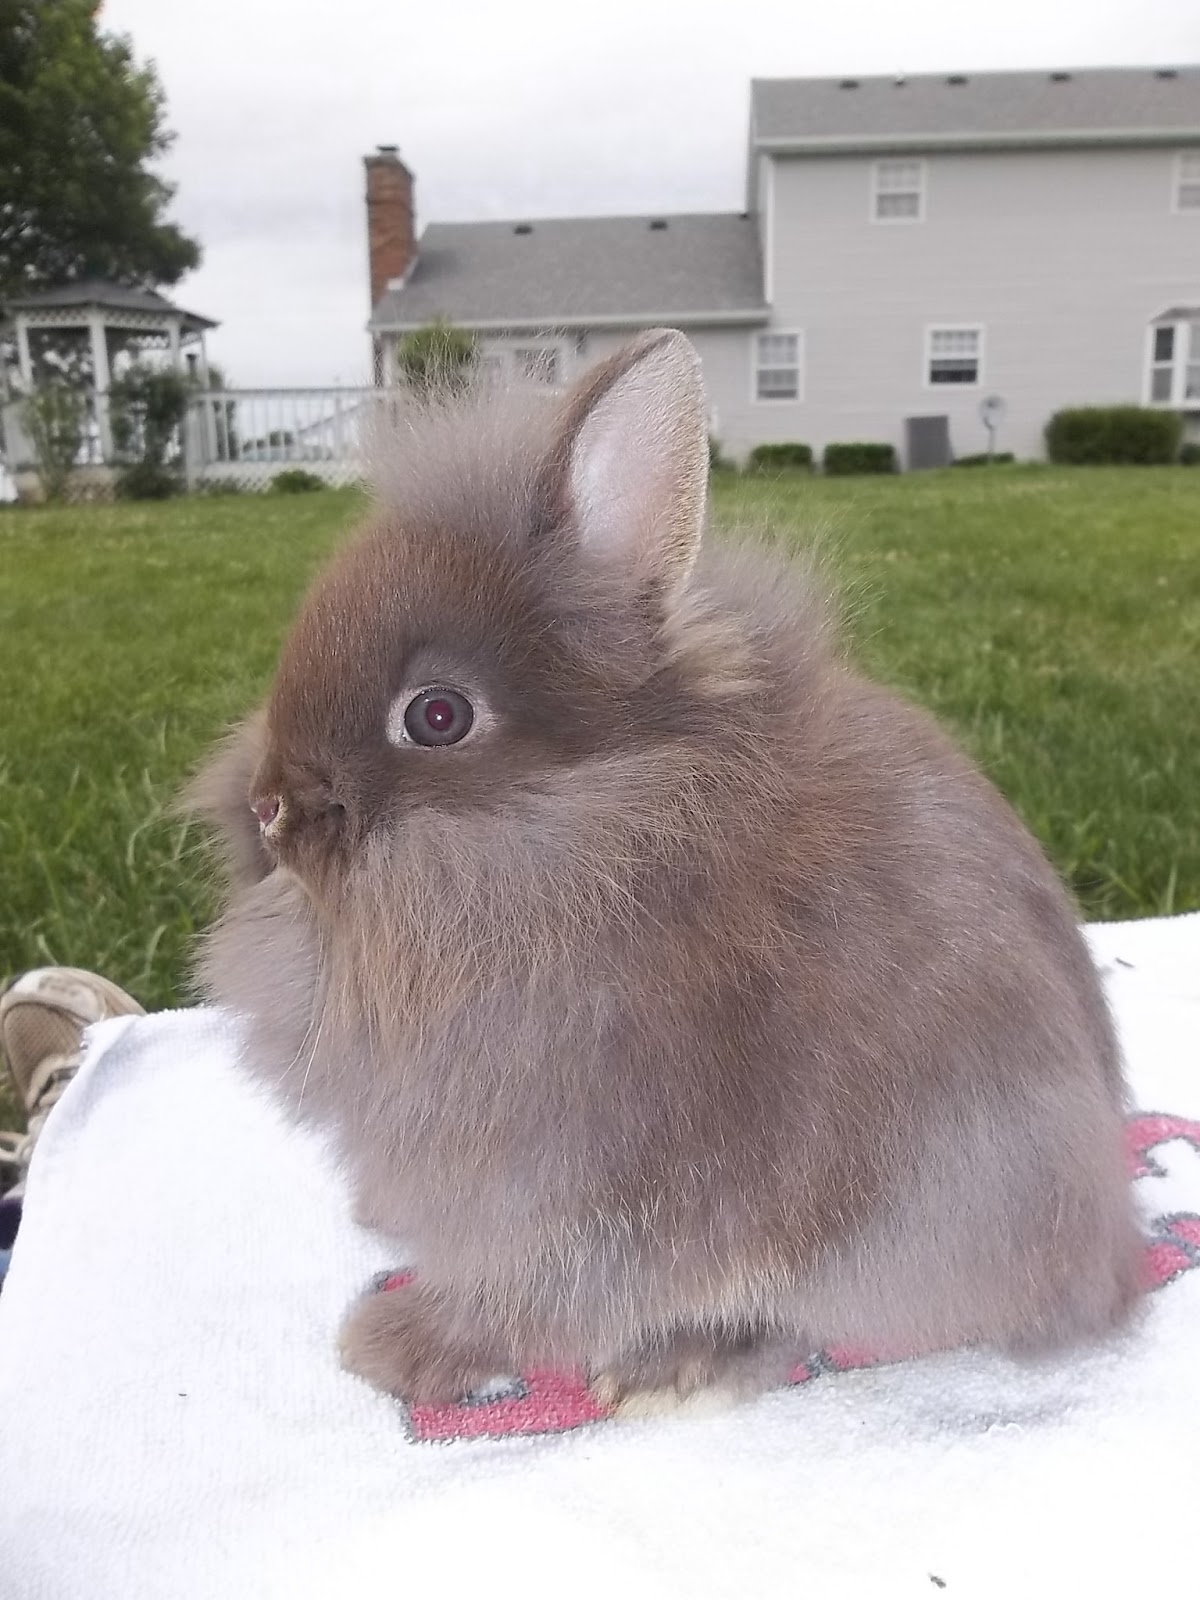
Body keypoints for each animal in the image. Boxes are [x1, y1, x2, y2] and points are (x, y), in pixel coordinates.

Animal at [190, 329, 1143, 1413]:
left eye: (437, 716)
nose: (267, 808)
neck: (607, 835)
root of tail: (1107, 1245)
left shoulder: (583, 1185)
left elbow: (539, 1287)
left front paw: (395, 1345)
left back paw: (671, 1367)